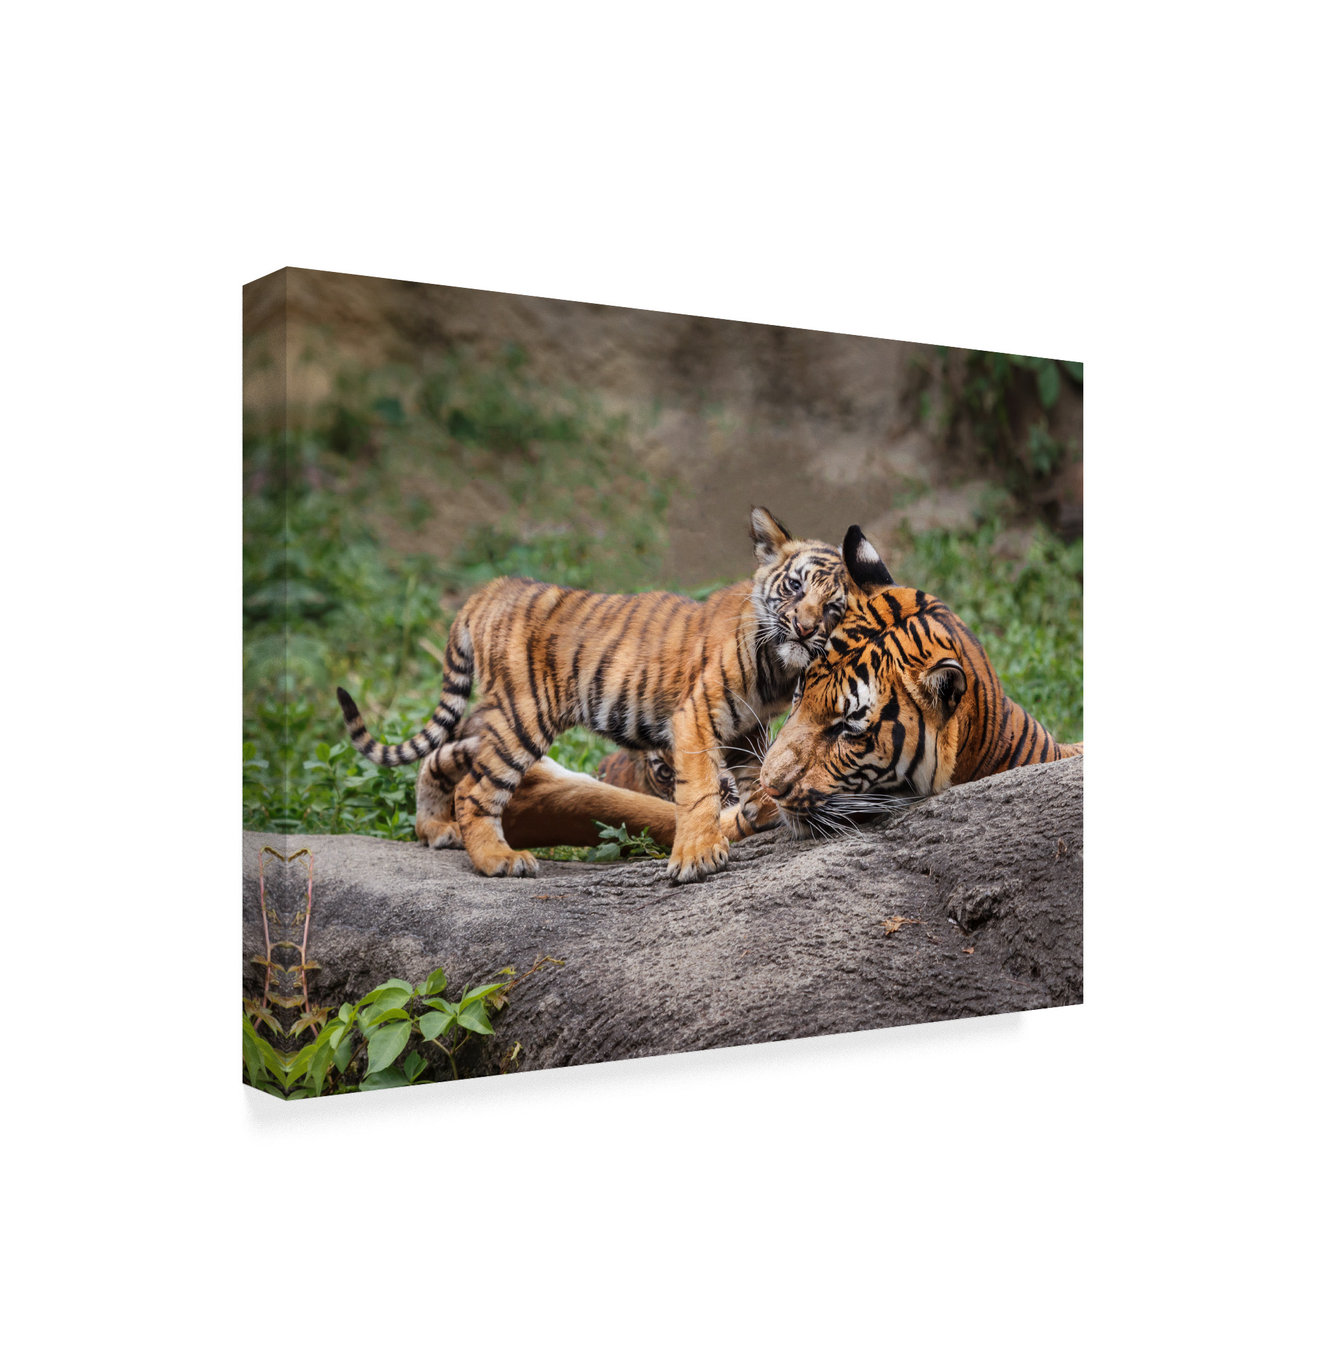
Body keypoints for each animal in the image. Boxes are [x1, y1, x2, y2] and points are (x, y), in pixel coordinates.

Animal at [337, 507, 847, 883]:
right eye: (794, 586)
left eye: (834, 607)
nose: (804, 629)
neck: (781, 669)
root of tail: (493, 587)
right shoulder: (697, 714)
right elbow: (698, 788)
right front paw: (697, 855)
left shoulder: (746, 729)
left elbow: (752, 776)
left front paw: (761, 806)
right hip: (525, 715)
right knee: (475, 788)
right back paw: (498, 859)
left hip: (496, 715)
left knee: (442, 755)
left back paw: (434, 828)